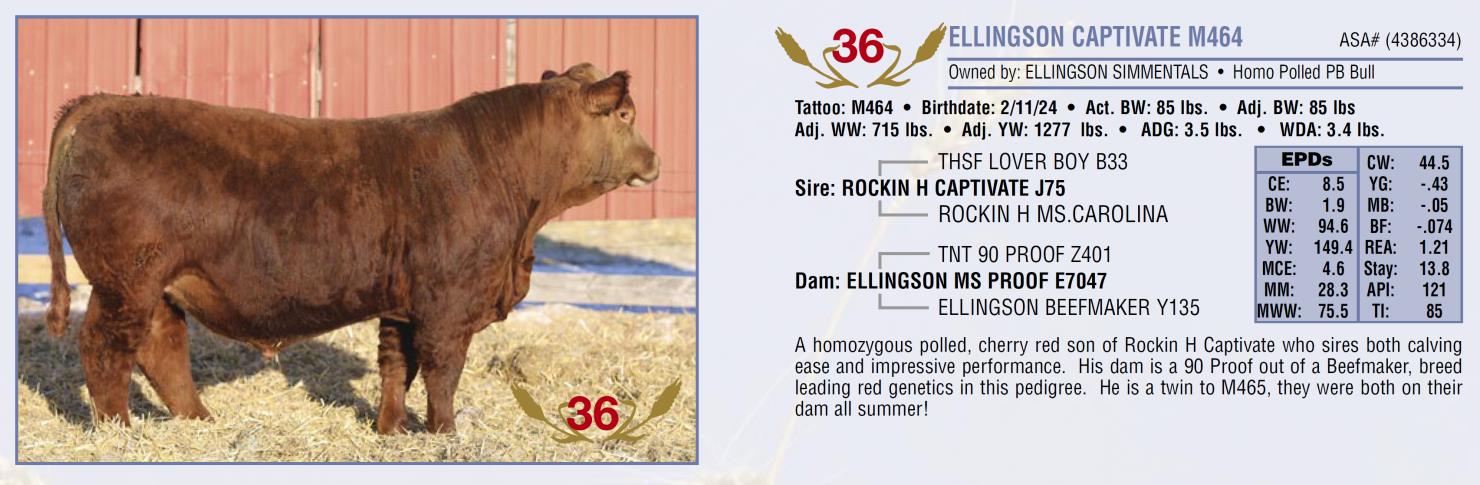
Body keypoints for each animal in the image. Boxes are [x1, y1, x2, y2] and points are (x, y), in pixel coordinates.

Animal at [42, 63, 659, 434]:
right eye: (626, 114)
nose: (653, 160)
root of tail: (99, 103)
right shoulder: (448, 305)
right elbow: (442, 372)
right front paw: (445, 434)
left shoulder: (402, 303)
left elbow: (396, 367)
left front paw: (392, 431)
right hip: (126, 281)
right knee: (106, 347)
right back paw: (119, 429)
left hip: (162, 285)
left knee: (162, 348)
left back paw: (200, 421)